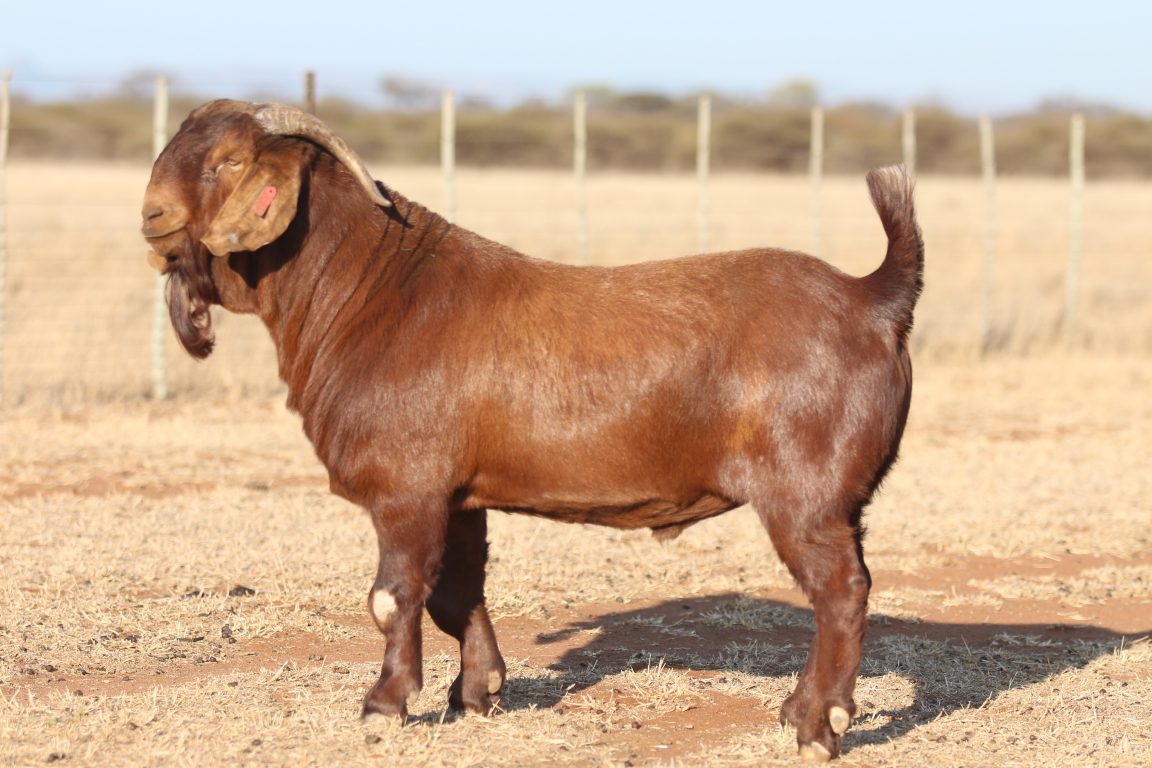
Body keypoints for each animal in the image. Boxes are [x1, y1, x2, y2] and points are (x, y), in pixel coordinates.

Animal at [141, 99, 923, 762]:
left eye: (229, 162)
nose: (151, 215)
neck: (371, 290)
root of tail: (871, 297)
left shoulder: (406, 490)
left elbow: (392, 596)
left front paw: (384, 707)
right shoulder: (458, 494)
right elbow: (456, 592)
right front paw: (477, 693)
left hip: (806, 493)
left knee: (842, 591)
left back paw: (818, 727)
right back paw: (795, 712)